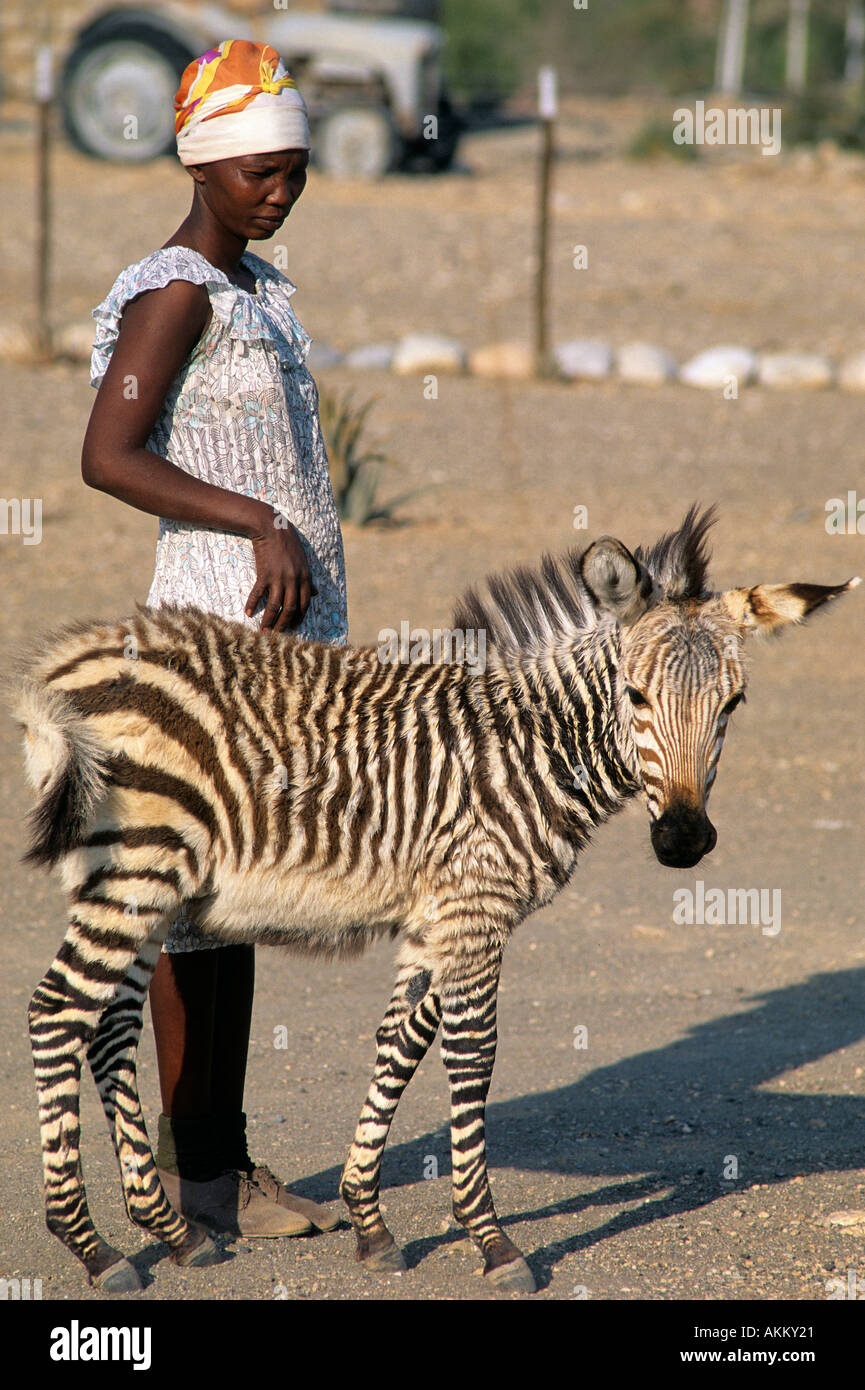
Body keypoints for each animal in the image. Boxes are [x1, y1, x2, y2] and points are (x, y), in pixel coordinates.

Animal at [13, 506, 858, 1295]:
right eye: (635, 695)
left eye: (733, 703)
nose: (683, 840)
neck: (529, 746)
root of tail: (66, 661)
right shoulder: (474, 910)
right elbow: (471, 1054)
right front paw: (492, 1241)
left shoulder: (437, 918)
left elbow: (399, 1042)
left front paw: (369, 1223)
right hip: (138, 869)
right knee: (59, 1011)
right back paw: (93, 1248)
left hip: (139, 886)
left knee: (109, 1026)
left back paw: (172, 1231)